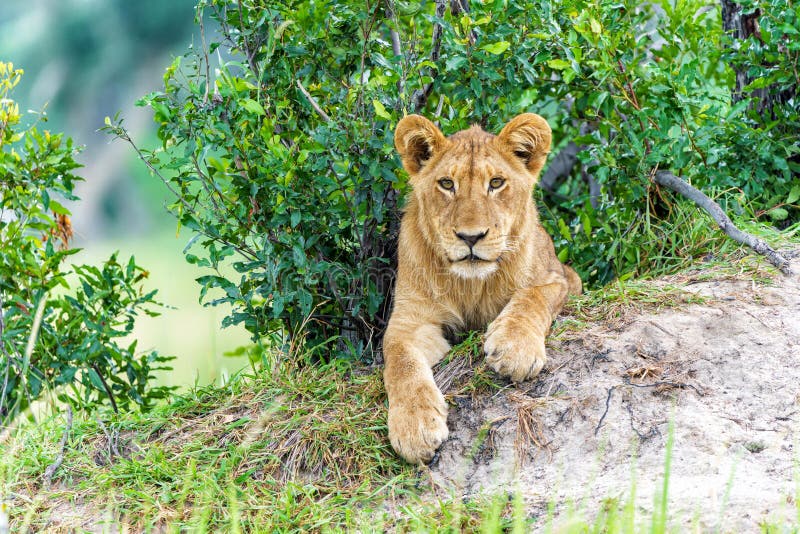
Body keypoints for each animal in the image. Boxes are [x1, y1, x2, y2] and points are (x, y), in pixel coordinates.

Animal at [383, 113, 582, 464]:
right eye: (447, 184)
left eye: (497, 183)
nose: (470, 236)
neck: (470, 286)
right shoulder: (410, 320)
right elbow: (400, 361)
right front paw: (415, 426)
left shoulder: (557, 279)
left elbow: (531, 298)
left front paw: (515, 349)